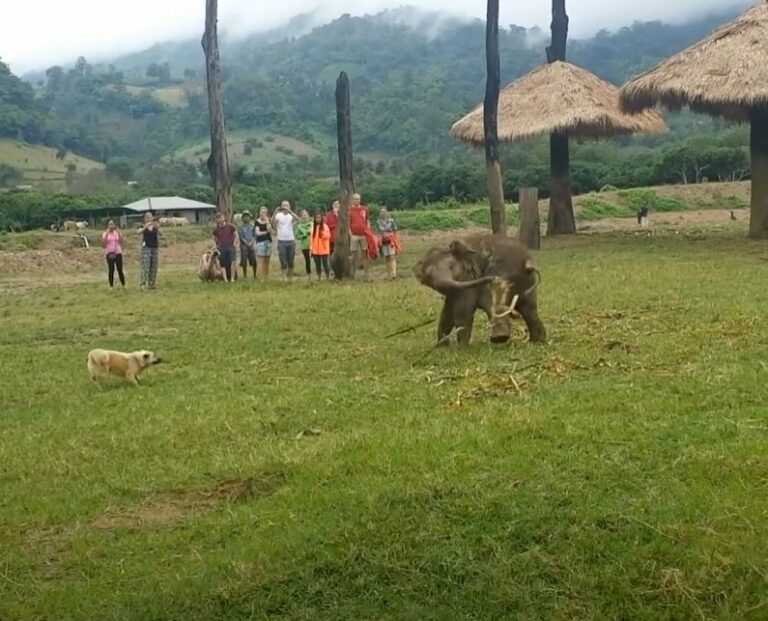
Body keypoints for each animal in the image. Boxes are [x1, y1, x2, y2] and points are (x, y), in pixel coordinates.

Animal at [413, 235, 546, 346]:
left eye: (451, 266)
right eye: (429, 275)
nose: (491, 278)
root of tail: (527, 264)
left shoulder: (468, 277)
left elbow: (462, 310)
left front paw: (461, 349)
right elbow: (447, 312)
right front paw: (441, 348)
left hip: (505, 272)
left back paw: (499, 338)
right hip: (526, 282)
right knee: (529, 309)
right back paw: (537, 341)